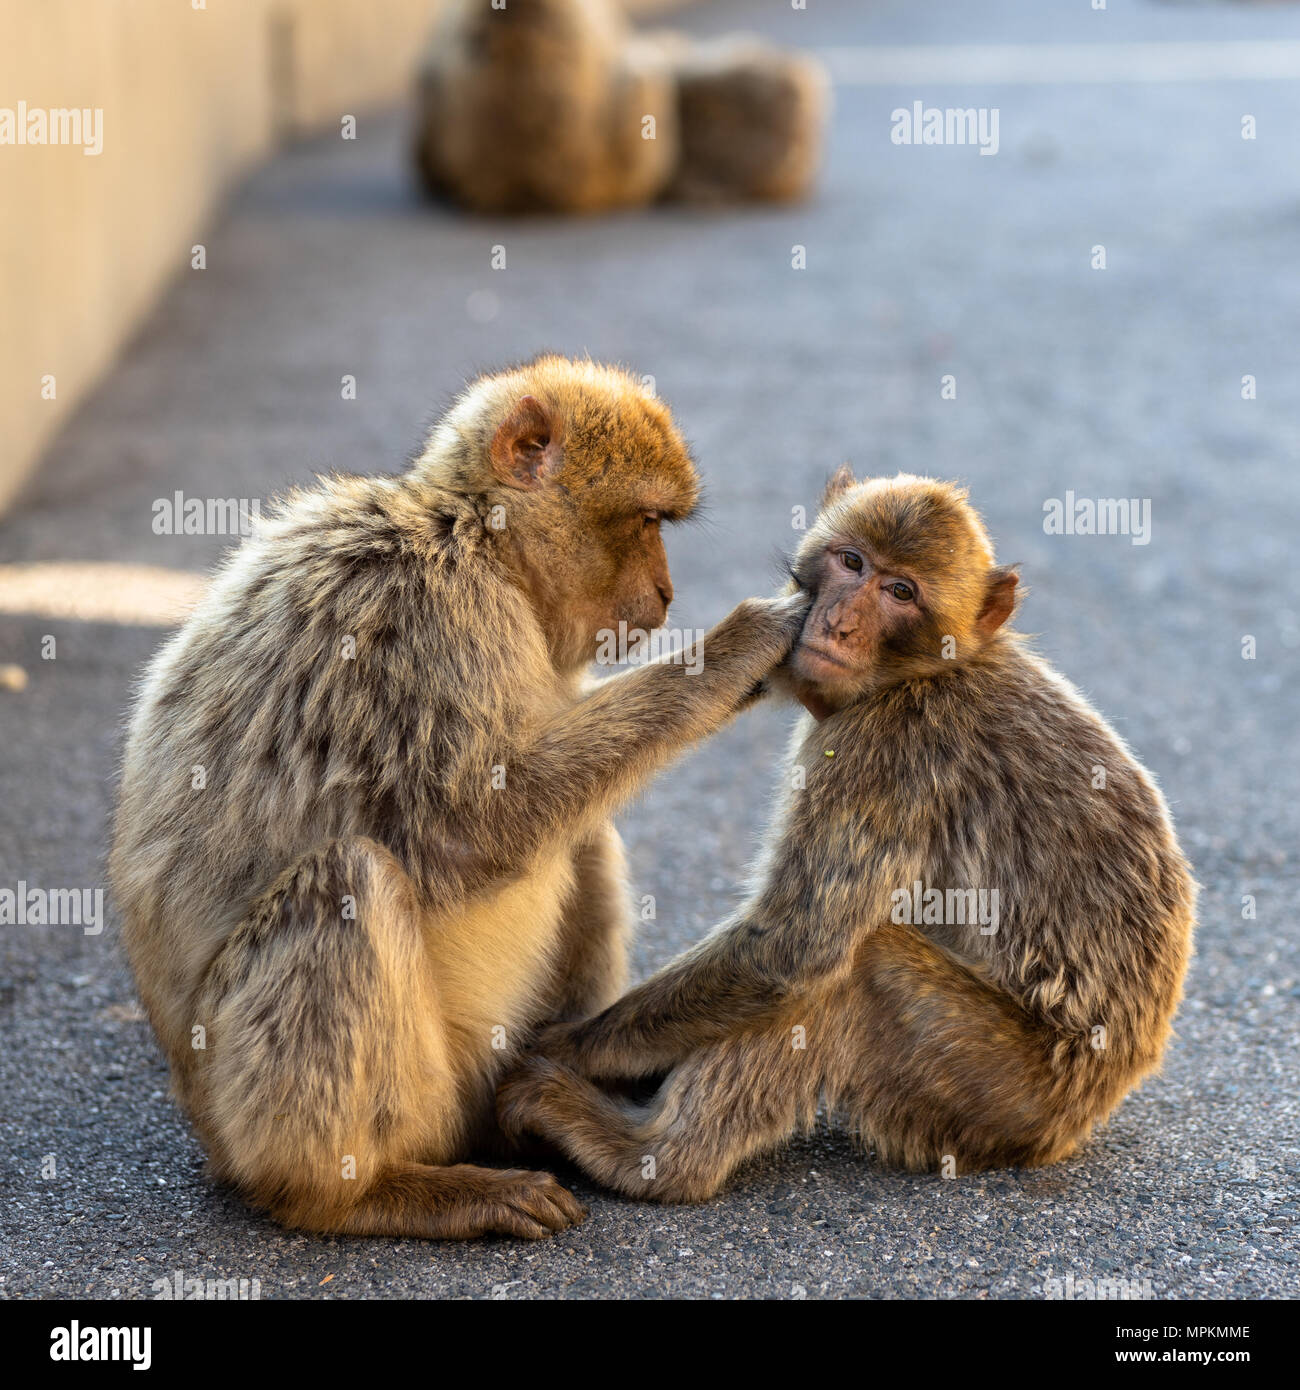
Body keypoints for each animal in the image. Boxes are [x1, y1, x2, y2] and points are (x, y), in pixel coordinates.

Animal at [109, 355, 809, 1239]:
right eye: (647, 520)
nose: (667, 591)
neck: (475, 538)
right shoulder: (422, 611)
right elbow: (471, 827)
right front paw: (730, 654)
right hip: (304, 1103)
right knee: (350, 878)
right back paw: (357, 1193)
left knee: (581, 836)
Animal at [498, 468, 1197, 1203]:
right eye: (852, 563)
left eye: (901, 593)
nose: (838, 622)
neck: (924, 674)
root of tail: (1098, 1101)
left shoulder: (886, 750)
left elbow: (794, 945)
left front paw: (566, 1049)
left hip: (1013, 1090)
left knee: (855, 966)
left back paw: (649, 1157)